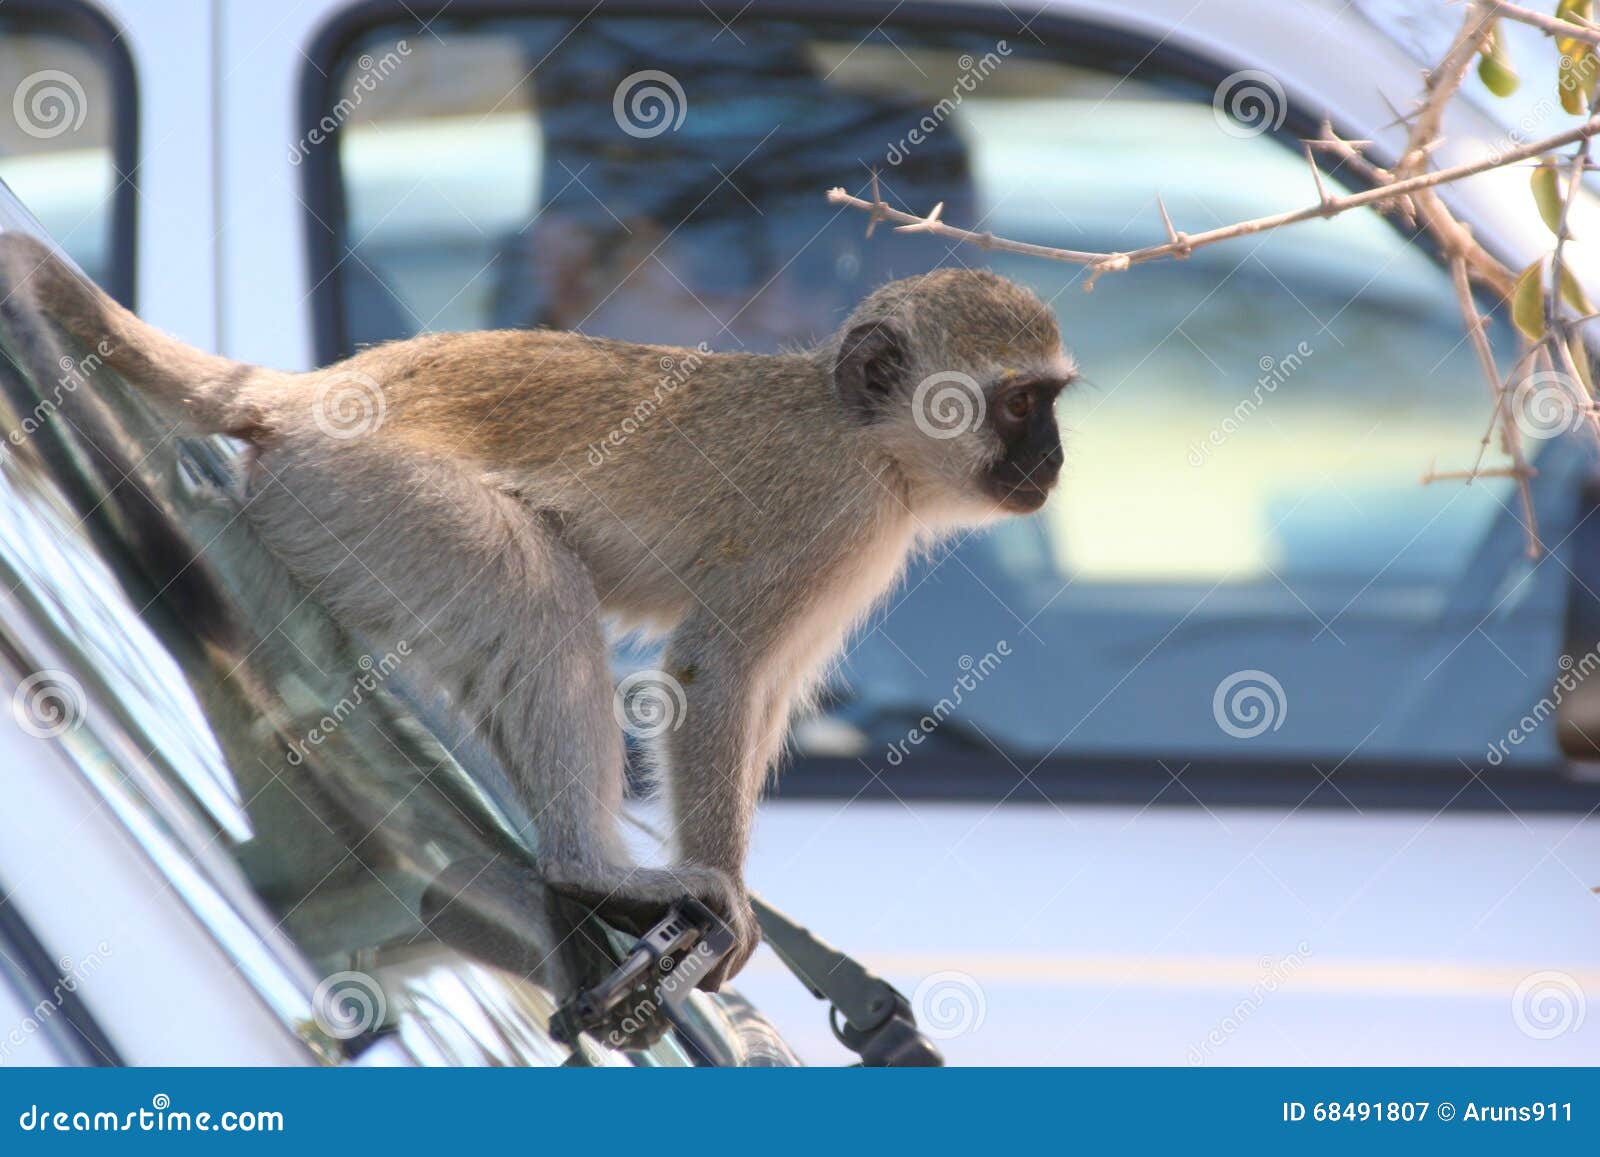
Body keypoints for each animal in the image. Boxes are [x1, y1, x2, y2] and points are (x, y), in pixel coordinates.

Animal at [0, 231, 1073, 990]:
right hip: (359, 492)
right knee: (535, 591)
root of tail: (314, 392)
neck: (868, 438)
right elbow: (717, 668)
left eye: (1052, 401)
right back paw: (586, 868)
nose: (1056, 461)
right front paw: (724, 886)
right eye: (1022, 404)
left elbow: (760, 685)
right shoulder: (829, 517)